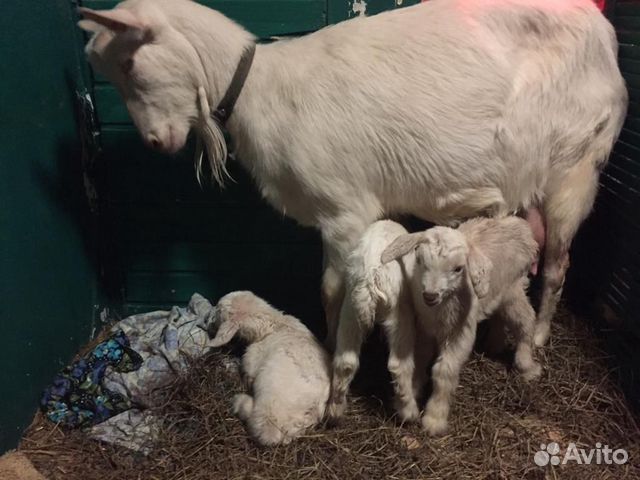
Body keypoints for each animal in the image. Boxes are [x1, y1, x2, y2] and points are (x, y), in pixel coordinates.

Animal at [78, 0, 627, 350]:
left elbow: (331, 290)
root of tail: (604, 34)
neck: (263, 89)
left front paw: (330, 347)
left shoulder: (345, 211)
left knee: (557, 265)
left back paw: (539, 337)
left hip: (578, 165)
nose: (156, 141)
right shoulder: (331, 214)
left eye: (130, 62)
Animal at [210, 291, 331, 446]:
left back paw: (238, 401)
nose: (209, 318)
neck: (273, 325)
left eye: (218, 309)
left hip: (267, 408)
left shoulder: (252, 358)